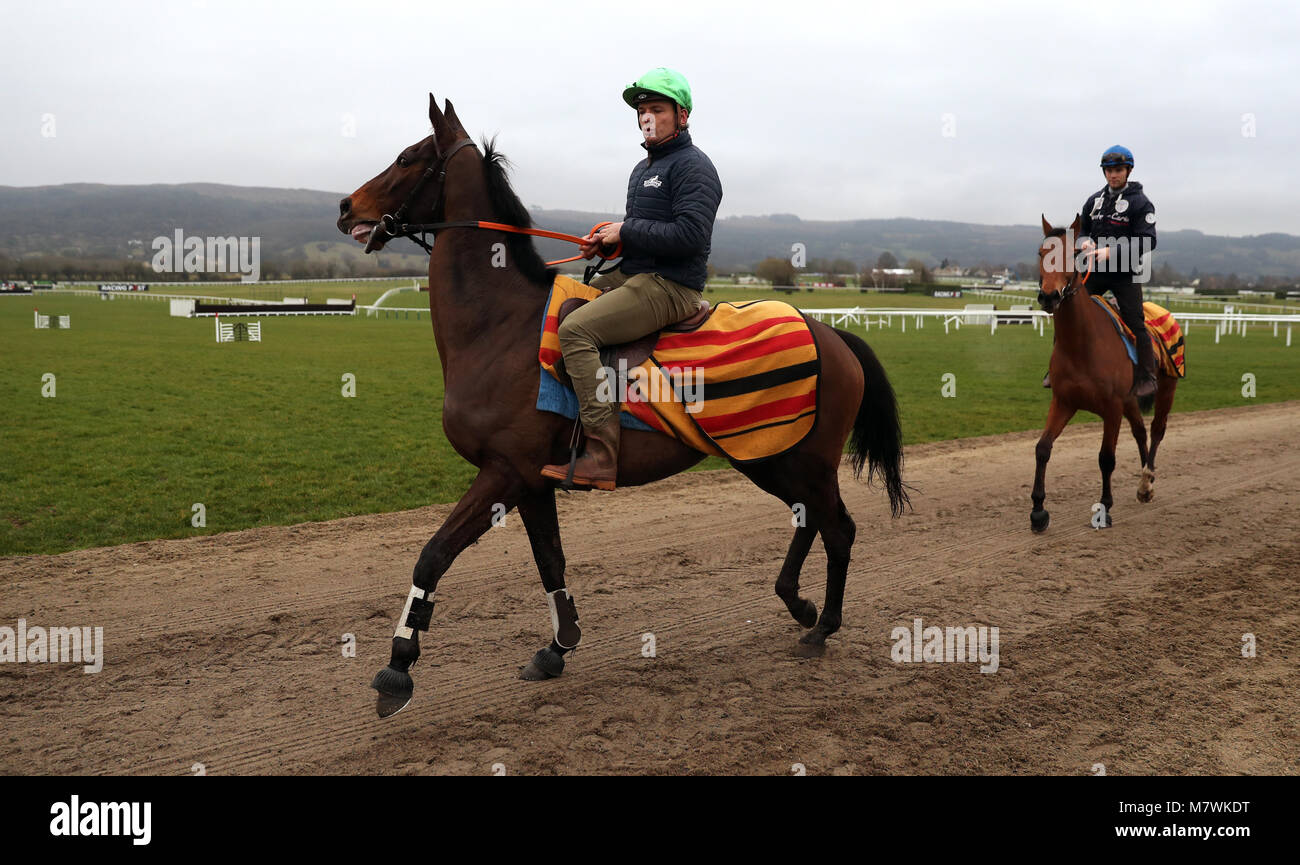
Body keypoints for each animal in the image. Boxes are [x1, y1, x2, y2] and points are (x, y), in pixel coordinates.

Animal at [336, 95, 909, 718]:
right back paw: (798, 604)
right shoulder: (531, 480)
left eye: (406, 157)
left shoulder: (503, 472)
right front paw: (557, 648)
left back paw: (822, 625)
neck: (500, 327)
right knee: (812, 519)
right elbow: (550, 562)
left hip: (802, 459)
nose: (345, 206)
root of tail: (831, 334)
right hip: (769, 458)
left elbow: (433, 555)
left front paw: (398, 667)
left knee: (839, 528)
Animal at [1031, 215, 1178, 533]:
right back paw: (1142, 483)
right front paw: (1038, 511)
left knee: (1157, 430)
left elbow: (1106, 458)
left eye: (1073, 254)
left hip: (1166, 389)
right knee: (1140, 431)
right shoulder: (1064, 402)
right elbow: (1043, 448)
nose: (1048, 297)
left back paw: (1148, 481)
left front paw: (1104, 508)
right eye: (1040, 252)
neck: (1082, 345)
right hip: (1131, 401)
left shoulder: (1111, 408)